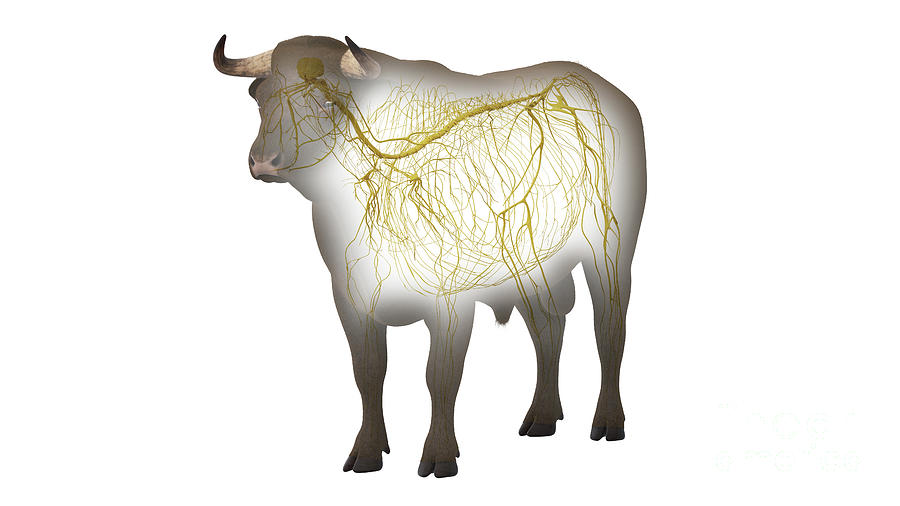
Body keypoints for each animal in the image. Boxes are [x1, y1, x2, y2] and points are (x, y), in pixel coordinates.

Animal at [213, 34, 646, 478]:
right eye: (262, 97)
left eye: (327, 99)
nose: (263, 161)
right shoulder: (350, 296)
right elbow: (369, 372)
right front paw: (366, 452)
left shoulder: (452, 299)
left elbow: (440, 375)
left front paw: (439, 455)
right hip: (530, 265)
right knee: (548, 328)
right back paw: (541, 417)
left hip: (610, 249)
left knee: (609, 326)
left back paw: (608, 422)